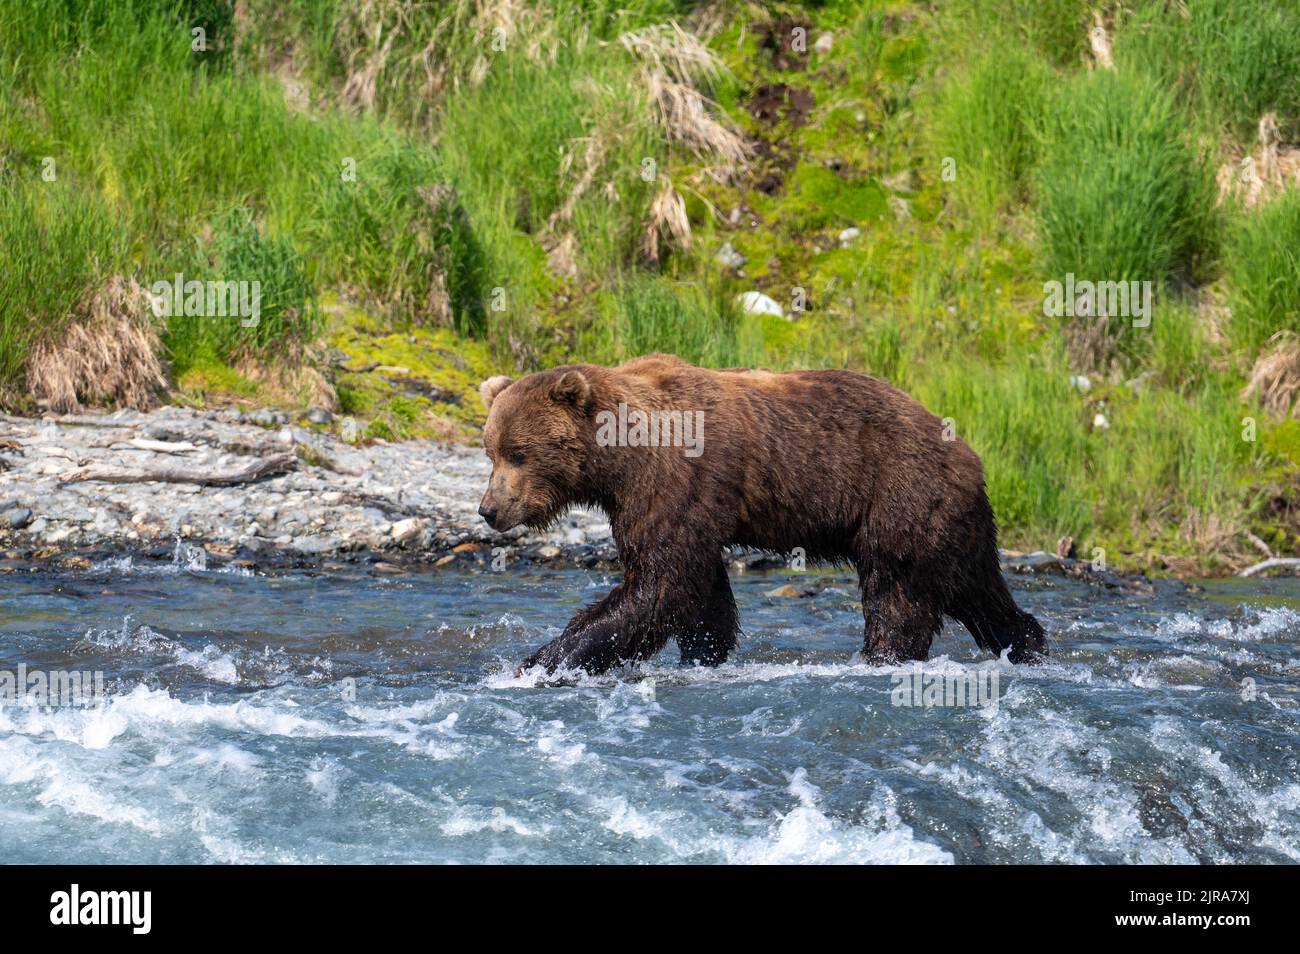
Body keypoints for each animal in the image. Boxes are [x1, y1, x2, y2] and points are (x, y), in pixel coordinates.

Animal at [477, 354, 1046, 676]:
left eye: (519, 453)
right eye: (491, 452)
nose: (489, 509)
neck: (617, 460)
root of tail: (968, 451)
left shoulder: (672, 479)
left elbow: (658, 584)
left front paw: (542, 660)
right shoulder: (679, 504)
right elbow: (698, 590)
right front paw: (704, 652)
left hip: (900, 494)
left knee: (899, 592)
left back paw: (881, 657)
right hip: (953, 518)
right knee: (978, 588)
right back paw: (1027, 644)